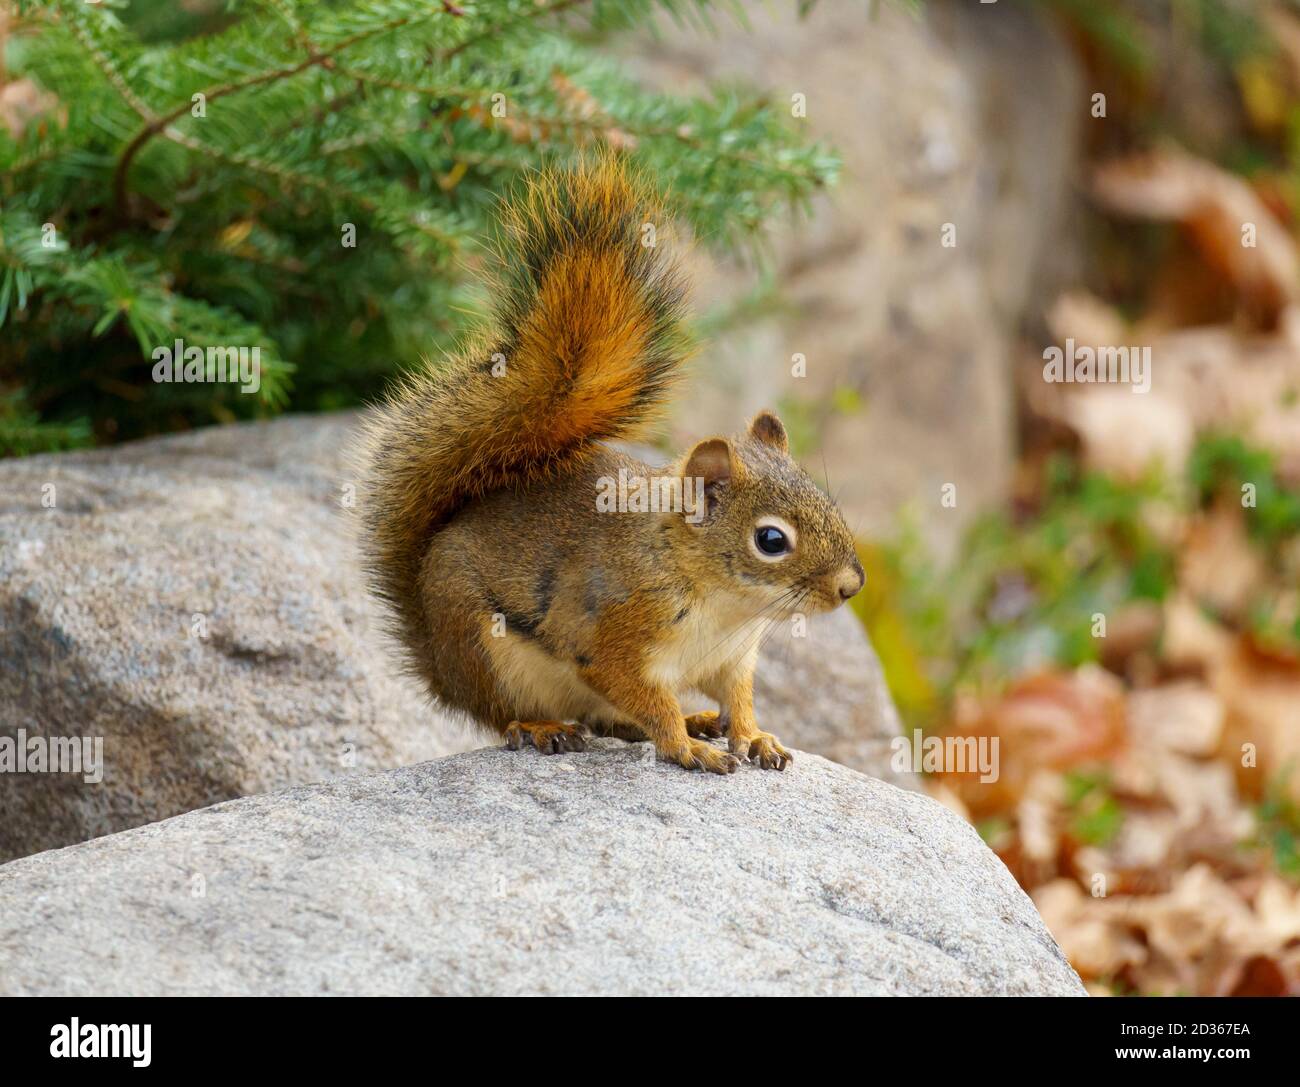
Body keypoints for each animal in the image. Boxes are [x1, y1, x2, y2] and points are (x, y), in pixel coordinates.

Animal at [359, 156, 864, 775]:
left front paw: (754, 736)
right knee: (511, 716)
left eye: (830, 503)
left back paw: (697, 719)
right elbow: (649, 700)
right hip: (487, 654)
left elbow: (739, 700)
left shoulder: (732, 658)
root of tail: (439, 667)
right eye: (771, 540)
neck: (723, 604)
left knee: (608, 721)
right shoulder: (612, 643)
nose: (851, 586)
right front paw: (685, 747)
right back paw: (545, 728)